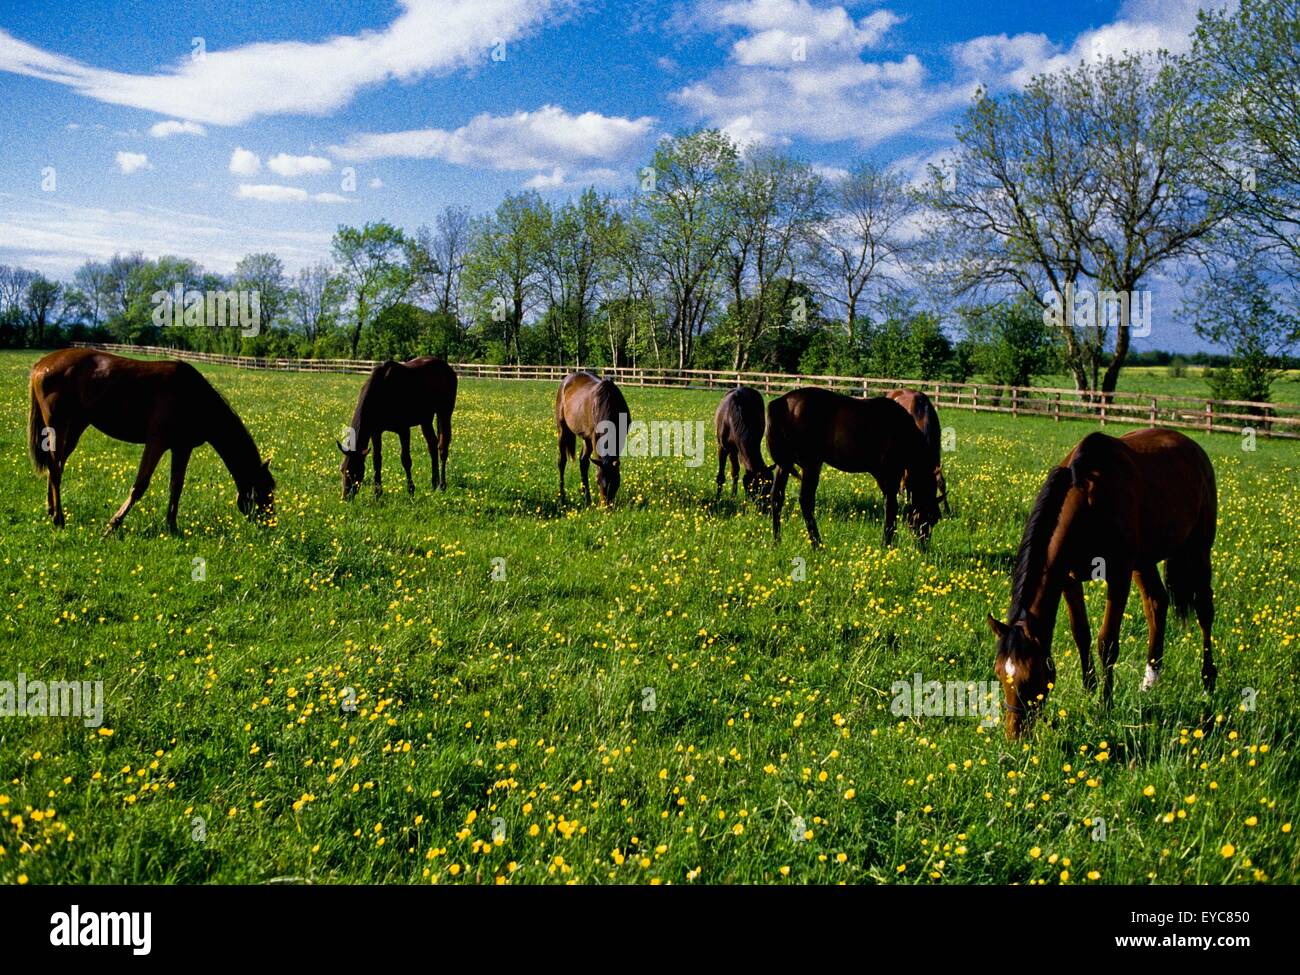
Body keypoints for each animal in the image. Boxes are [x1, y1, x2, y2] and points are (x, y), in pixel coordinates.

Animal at [28, 347, 274, 533]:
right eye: (266, 489)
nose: (270, 523)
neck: (194, 396)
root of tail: (42, 363)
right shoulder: (156, 443)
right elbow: (140, 486)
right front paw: (113, 525)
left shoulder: (182, 448)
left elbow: (176, 486)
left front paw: (172, 526)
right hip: (58, 425)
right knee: (55, 467)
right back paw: (59, 519)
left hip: (76, 426)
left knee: (57, 465)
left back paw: (51, 510)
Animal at [338, 357, 457, 500]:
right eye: (342, 469)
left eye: (354, 472)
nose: (345, 498)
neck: (381, 392)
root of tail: (448, 368)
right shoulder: (376, 432)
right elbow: (377, 460)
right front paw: (377, 493)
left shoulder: (403, 430)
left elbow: (406, 460)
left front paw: (411, 491)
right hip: (426, 420)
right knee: (432, 446)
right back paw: (434, 483)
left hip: (444, 413)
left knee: (443, 448)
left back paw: (442, 486)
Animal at [555, 372, 629, 505]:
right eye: (598, 481)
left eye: (616, 482)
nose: (606, 506)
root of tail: (567, 380)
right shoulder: (595, 437)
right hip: (563, 430)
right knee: (562, 461)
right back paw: (562, 498)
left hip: (586, 438)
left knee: (583, 462)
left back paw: (586, 497)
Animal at [765, 387, 941, 548]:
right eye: (929, 517)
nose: (923, 547)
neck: (904, 430)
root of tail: (782, 402)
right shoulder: (891, 473)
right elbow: (891, 506)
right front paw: (887, 543)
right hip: (811, 464)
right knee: (806, 501)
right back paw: (817, 544)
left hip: (785, 464)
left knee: (777, 497)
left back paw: (777, 541)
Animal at [986, 428, 1217, 738]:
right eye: (1000, 673)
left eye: (1032, 676)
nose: (1014, 734)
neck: (1087, 498)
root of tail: (1193, 447)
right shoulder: (1068, 579)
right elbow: (1080, 633)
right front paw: (1089, 688)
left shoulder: (1118, 575)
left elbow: (1107, 643)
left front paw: (1105, 704)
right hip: (1144, 562)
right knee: (1157, 602)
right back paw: (1150, 679)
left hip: (1199, 549)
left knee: (1204, 611)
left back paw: (1208, 681)